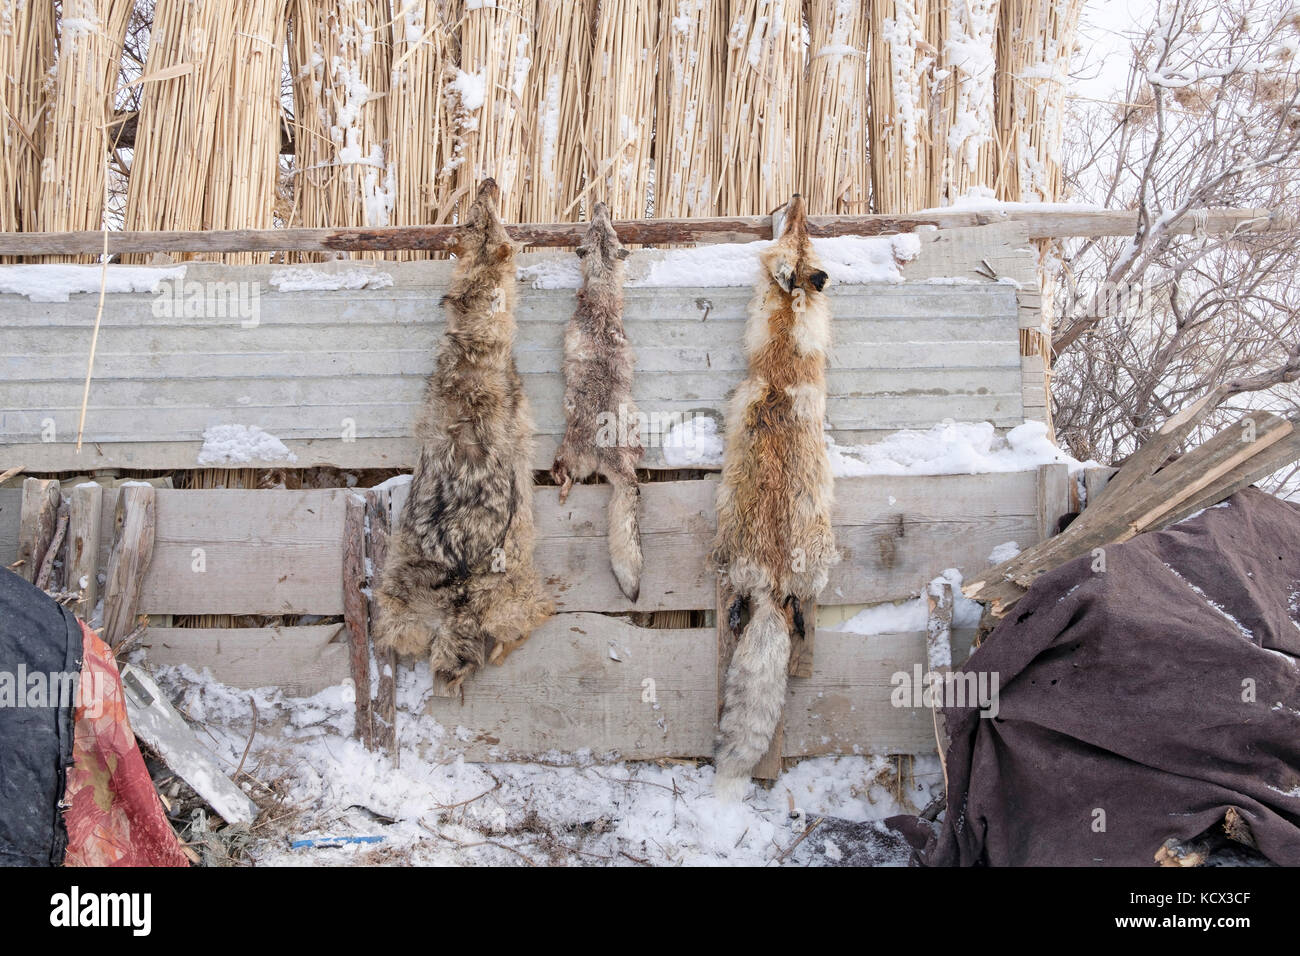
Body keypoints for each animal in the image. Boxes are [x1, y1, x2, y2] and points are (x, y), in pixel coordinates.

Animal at [373, 178, 554, 693]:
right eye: (480, 216)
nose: (487, 180)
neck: (475, 343)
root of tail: (459, 589)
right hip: (519, 591)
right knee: (521, 627)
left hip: (395, 607)